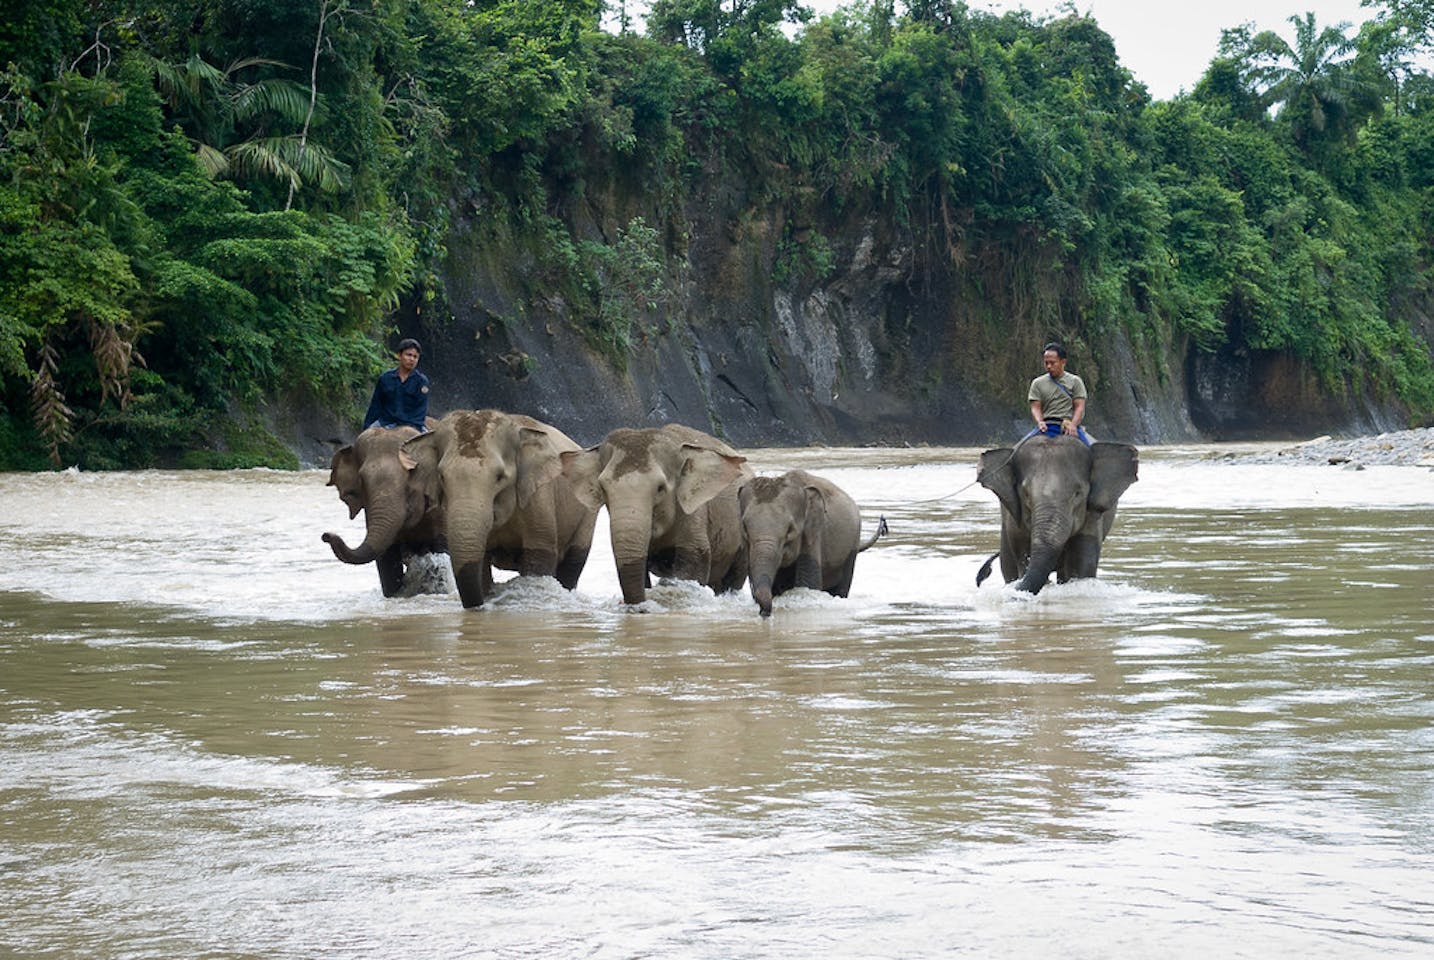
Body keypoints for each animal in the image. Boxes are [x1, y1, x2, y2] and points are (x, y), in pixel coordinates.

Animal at [400, 409, 599, 609]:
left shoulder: (539, 499)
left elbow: (540, 556)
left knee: (572, 564)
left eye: (500, 476)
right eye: (441, 476)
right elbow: (482, 565)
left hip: (587, 515)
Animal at [737, 469, 888, 617]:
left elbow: (808, 582)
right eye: (744, 527)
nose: (764, 613)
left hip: (851, 547)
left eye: (790, 529)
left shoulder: (813, 531)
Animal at [975, 434, 1139, 594]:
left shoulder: (1091, 514)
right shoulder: (1014, 521)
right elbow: (1023, 559)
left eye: (1078, 493)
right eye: (1026, 494)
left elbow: (1081, 566)